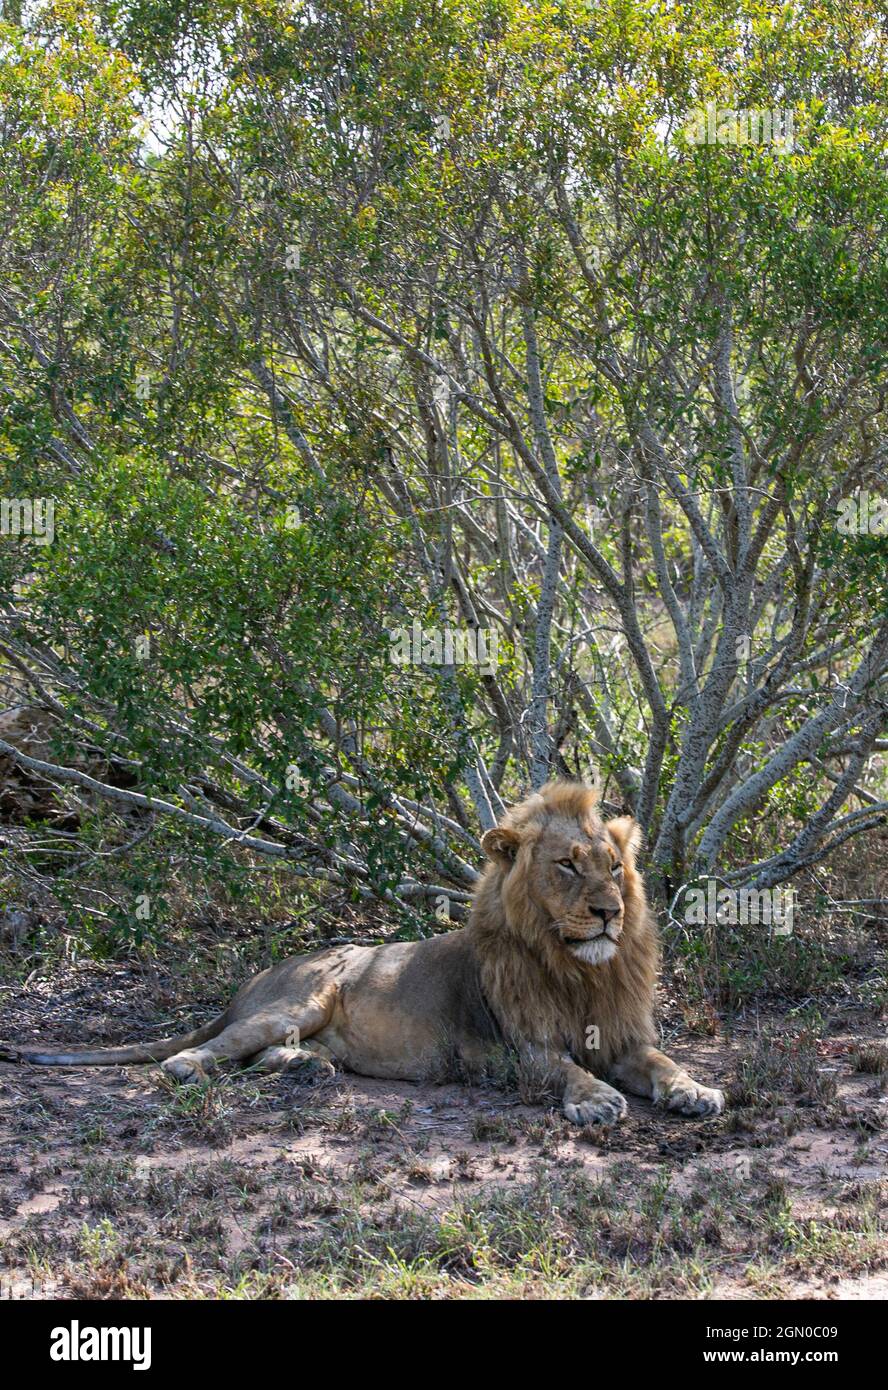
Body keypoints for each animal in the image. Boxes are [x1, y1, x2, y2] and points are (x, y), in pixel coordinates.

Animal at [2, 782, 724, 1126]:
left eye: (613, 867)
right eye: (569, 867)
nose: (610, 912)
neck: (578, 968)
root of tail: (252, 980)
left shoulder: (624, 1037)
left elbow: (663, 1063)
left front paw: (695, 1090)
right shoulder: (521, 1049)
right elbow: (568, 1072)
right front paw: (595, 1099)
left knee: (263, 1055)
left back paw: (307, 1070)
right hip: (302, 998)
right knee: (205, 1053)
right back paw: (214, 1069)